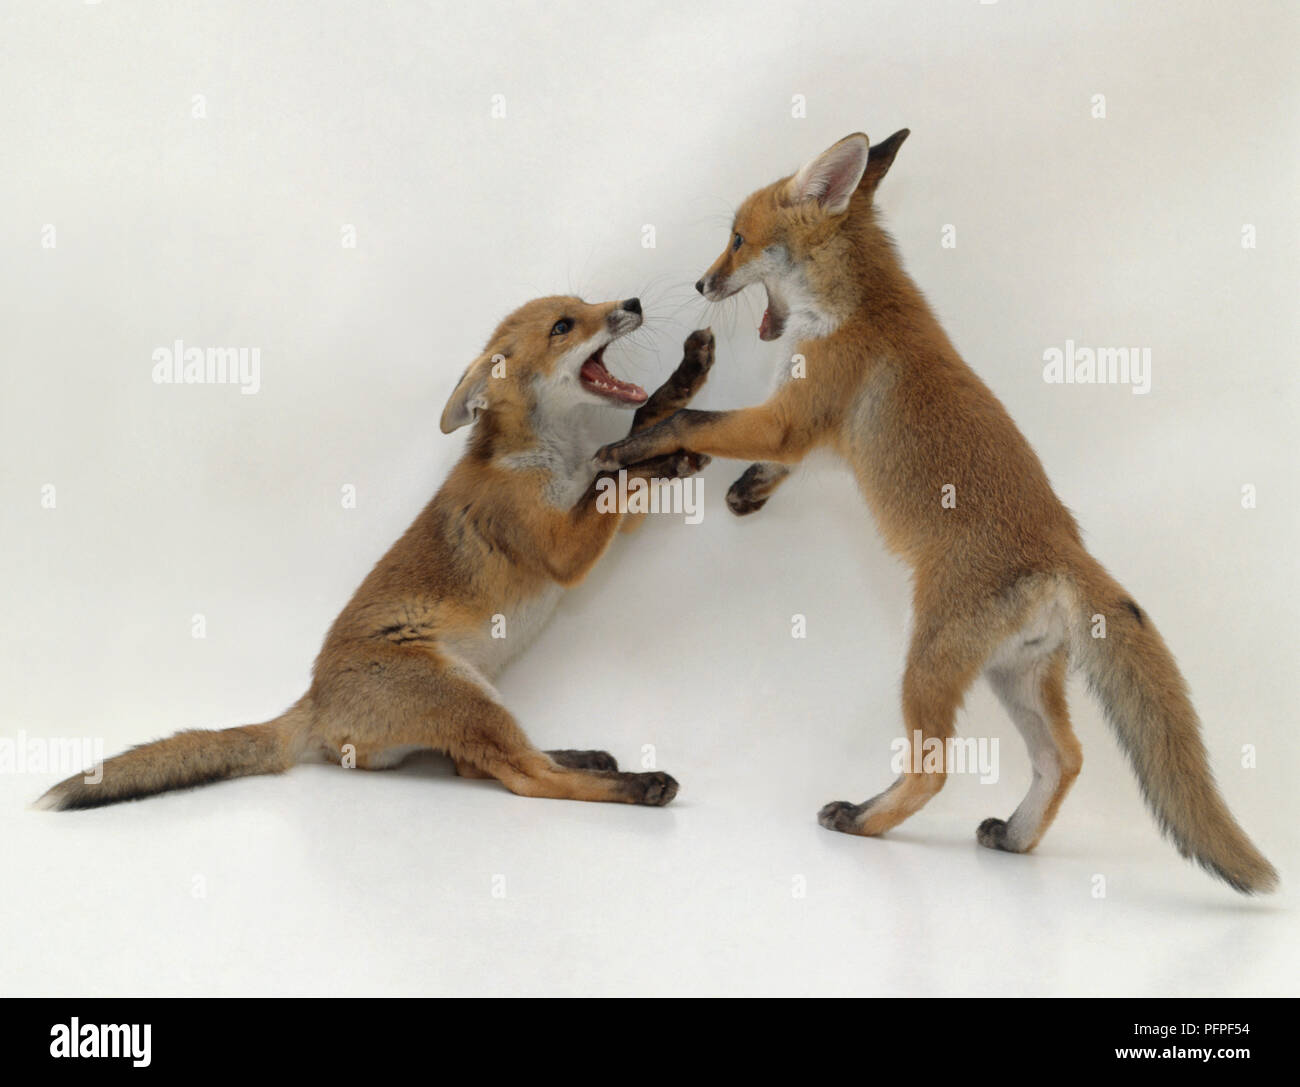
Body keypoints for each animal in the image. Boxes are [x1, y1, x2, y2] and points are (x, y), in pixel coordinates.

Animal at [37, 297, 716, 812]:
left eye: (586, 305)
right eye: (563, 327)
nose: (632, 301)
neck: (549, 456)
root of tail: (312, 702)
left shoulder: (600, 508)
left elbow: (632, 441)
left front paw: (680, 399)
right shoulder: (559, 548)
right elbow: (614, 476)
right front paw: (666, 443)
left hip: (479, 703)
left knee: (484, 767)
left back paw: (586, 756)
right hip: (465, 697)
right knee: (524, 777)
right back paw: (635, 784)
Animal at [596, 130, 1278, 894]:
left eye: (737, 239)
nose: (699, 284)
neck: (852, 301)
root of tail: (1067, 552)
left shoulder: (789, 417)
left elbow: (690, 419)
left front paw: (627, 447)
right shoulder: (803, 425)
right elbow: (772, 460)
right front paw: (747, 492)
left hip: (926, 665)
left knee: (935, 769)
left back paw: (862, 819)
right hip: (1015, 676)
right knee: (1065, 757)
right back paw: (1014, 836)